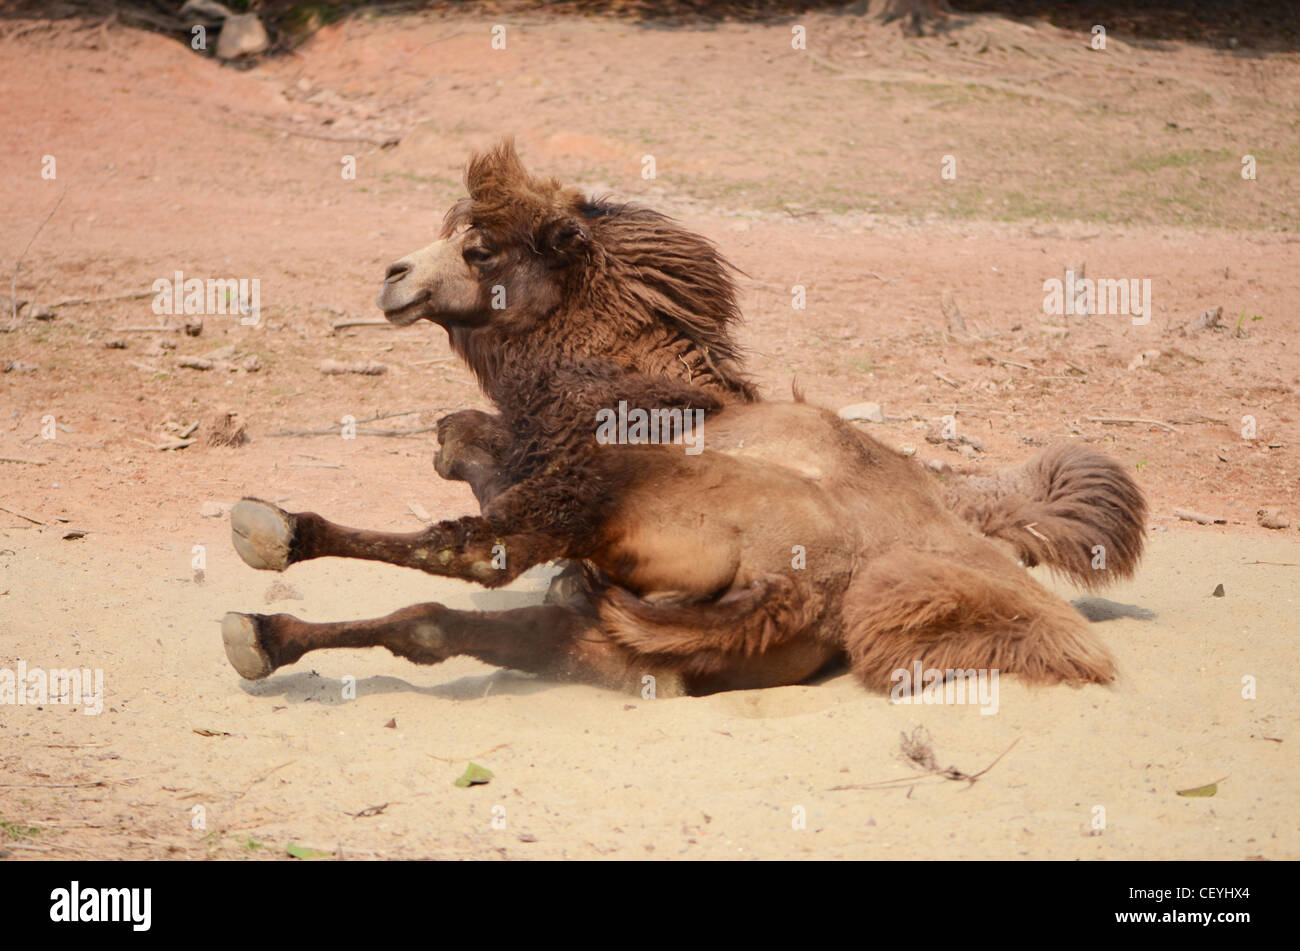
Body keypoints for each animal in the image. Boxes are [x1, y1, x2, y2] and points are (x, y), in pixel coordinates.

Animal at [221, 141, 1146, 696]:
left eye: (479, 249)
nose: (393, 276)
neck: (653, 390)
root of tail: (793, 586)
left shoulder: (578, 457)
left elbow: (476, 472)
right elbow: (464, 436)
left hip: (626, 510)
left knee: (475, 555)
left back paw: (271, 533)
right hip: (627, 641)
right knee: (450, 621)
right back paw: (263, 634)